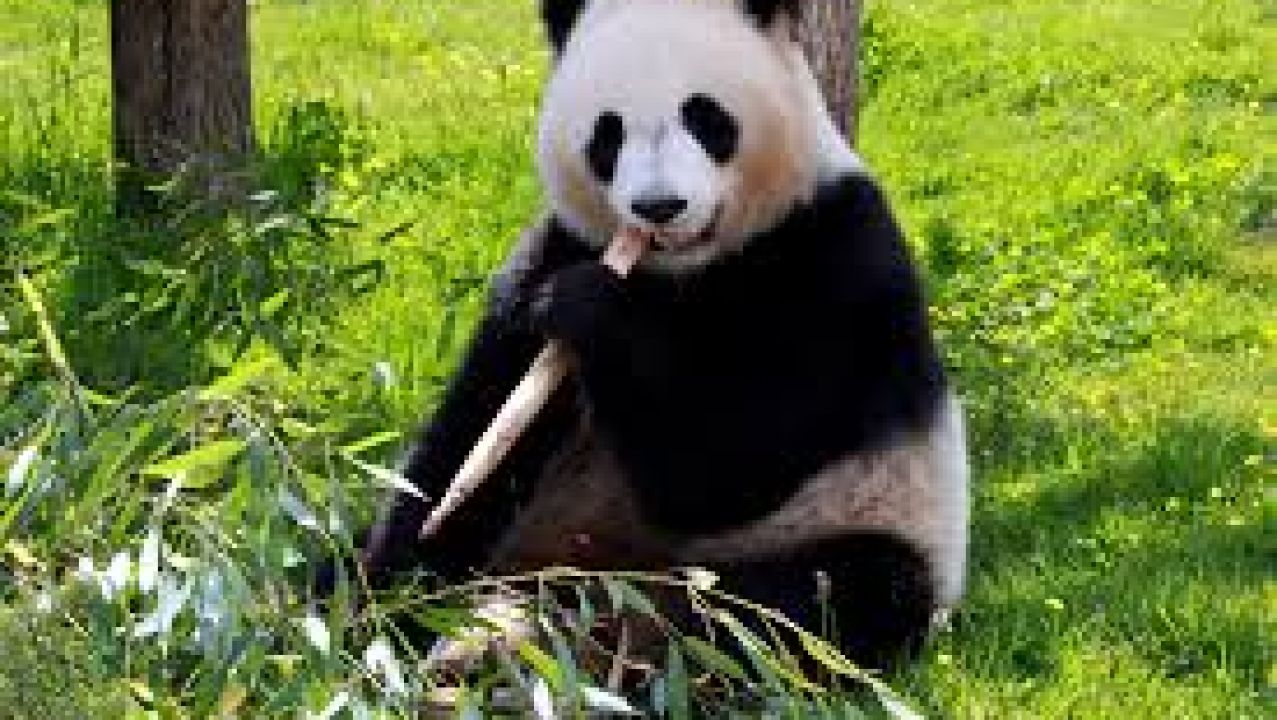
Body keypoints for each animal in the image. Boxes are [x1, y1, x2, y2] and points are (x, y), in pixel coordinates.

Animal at [353, 0, 969, 670]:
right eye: (608, 133)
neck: (678, 273)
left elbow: (730, 464)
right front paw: (379, 603)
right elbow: (473, 439)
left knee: (817, 601)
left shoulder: (835, 260)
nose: (659, 207)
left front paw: (586, 307)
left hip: (858, 521)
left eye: (704, 117)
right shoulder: (556, 246)